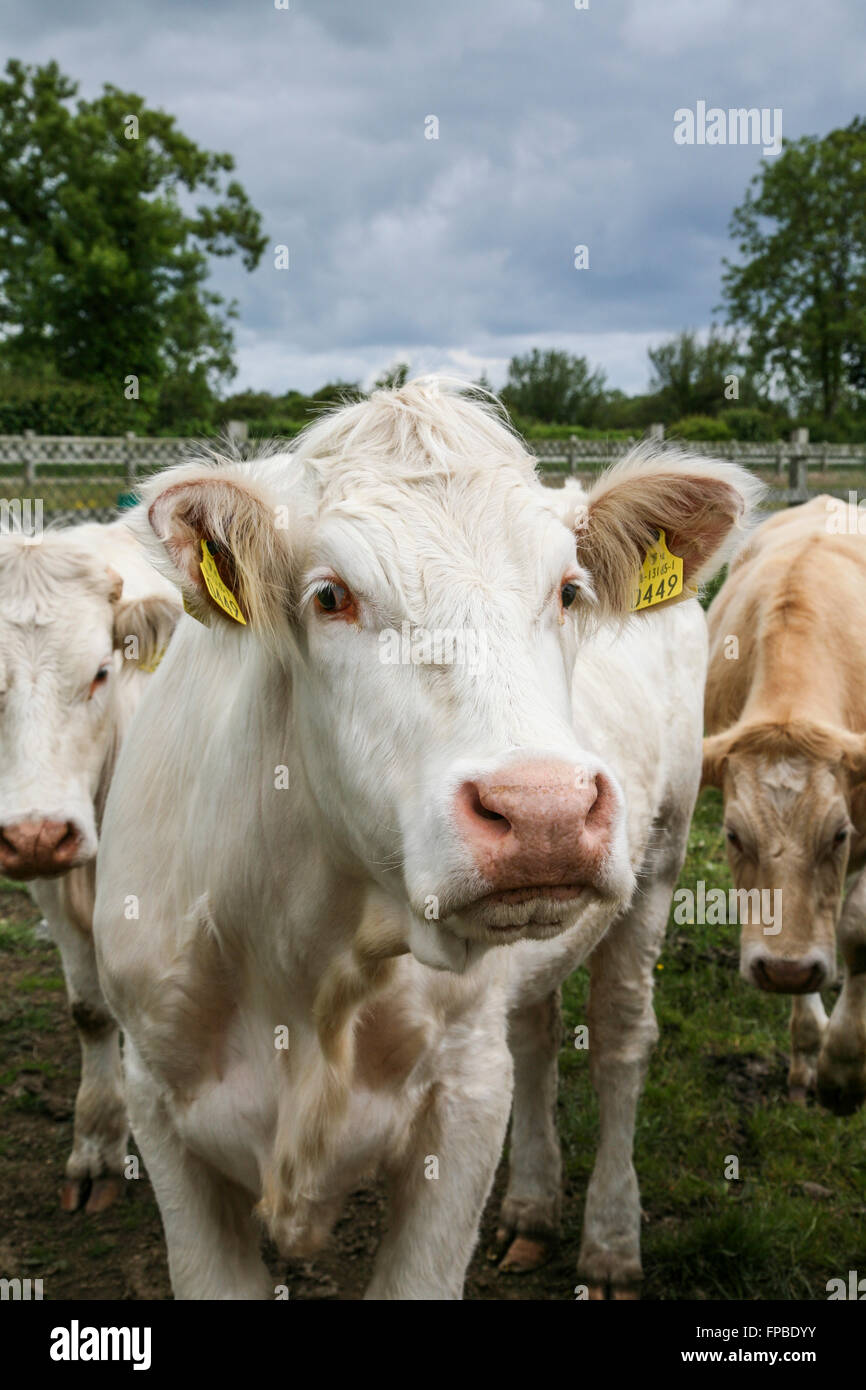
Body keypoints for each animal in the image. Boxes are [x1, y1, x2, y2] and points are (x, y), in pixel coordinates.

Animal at [93, 380, 757, 1298]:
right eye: (329, 595)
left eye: (570, 590)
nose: (544, 811)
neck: (305, 961)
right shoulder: (156, 1100)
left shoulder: (466, 1097)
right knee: (537, 1030)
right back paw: (533, 1209)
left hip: (658, 861)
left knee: (622, 1041)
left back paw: (610, 1242)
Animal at [702, 495, 866, 1114]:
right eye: (732, 836)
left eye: (839, 835)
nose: (787, 971)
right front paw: (807, 1056)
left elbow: (857, 931)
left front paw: (844, 1068)